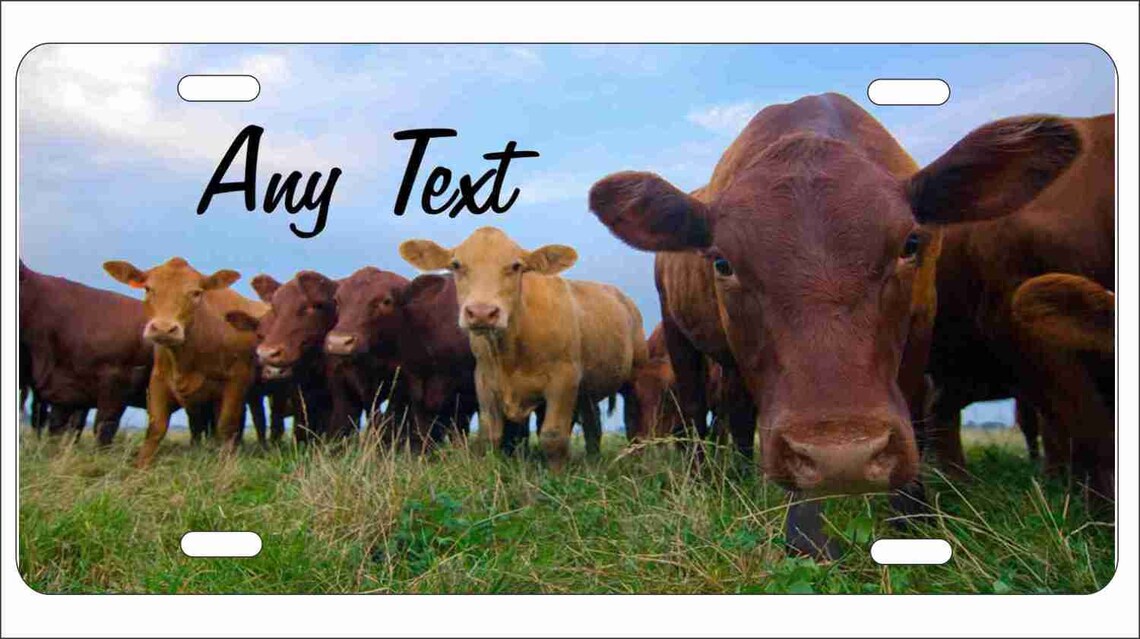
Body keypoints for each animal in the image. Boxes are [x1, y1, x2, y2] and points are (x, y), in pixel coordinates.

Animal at [103, 257, 267, 467]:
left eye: (196, 293)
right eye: (148, 288)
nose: (163, 328)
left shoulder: (238, 379)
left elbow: (227, 425)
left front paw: (226, 465)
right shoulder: (159, 380)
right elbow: (156, 427)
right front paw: (141, 467)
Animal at [399, 227, 648, 471]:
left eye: (516, 266)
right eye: (456, 265)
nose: (482, 312)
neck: (511, 352)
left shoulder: (564, 379)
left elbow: (553, 435)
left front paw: (557, 476)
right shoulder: (484, 380)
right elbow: (490, 435)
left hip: (635, 373)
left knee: (633, 419)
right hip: (587, 390)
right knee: (593, 423)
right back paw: (594, 461)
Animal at [588, 93, 1087, 557]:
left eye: (910, 244)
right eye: (722, 263)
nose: (842, 457)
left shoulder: (921, 322)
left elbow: (912, 405)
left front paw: (911, 514)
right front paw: (807, 532)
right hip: (679, 333)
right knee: (696, 409)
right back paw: (706, 478)